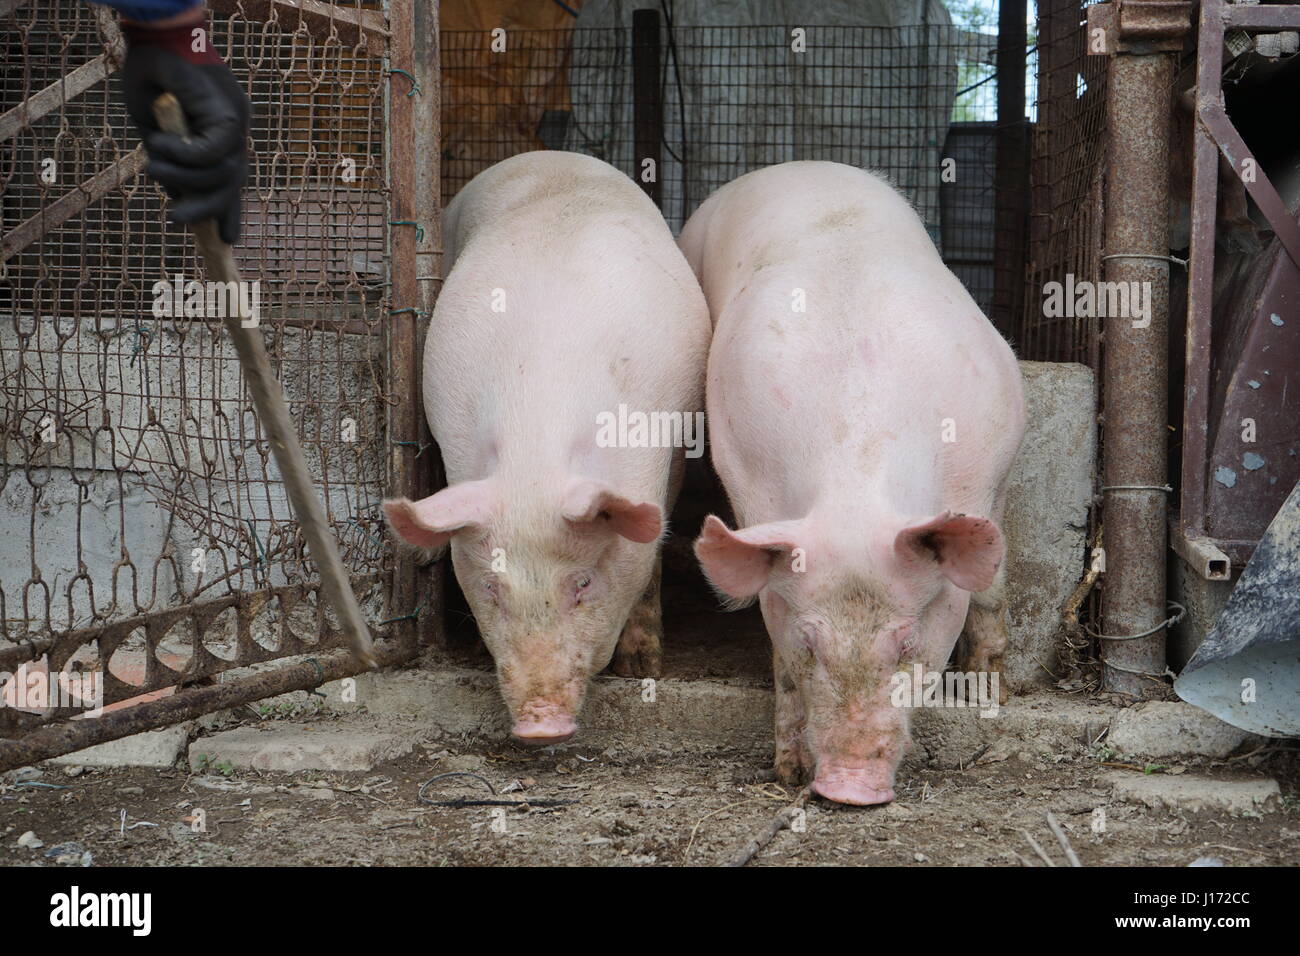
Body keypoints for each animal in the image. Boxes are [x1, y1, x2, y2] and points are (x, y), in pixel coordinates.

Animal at [681, 162, 1026, 805]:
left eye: (907, 643)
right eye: (811, 642)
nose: (848, 787)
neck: (857, 466)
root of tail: (800, 165)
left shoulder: (987, 477)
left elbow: (990, 588)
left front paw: (990, 692)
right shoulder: (751, 488)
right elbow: (782, 668)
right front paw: (789, 772)